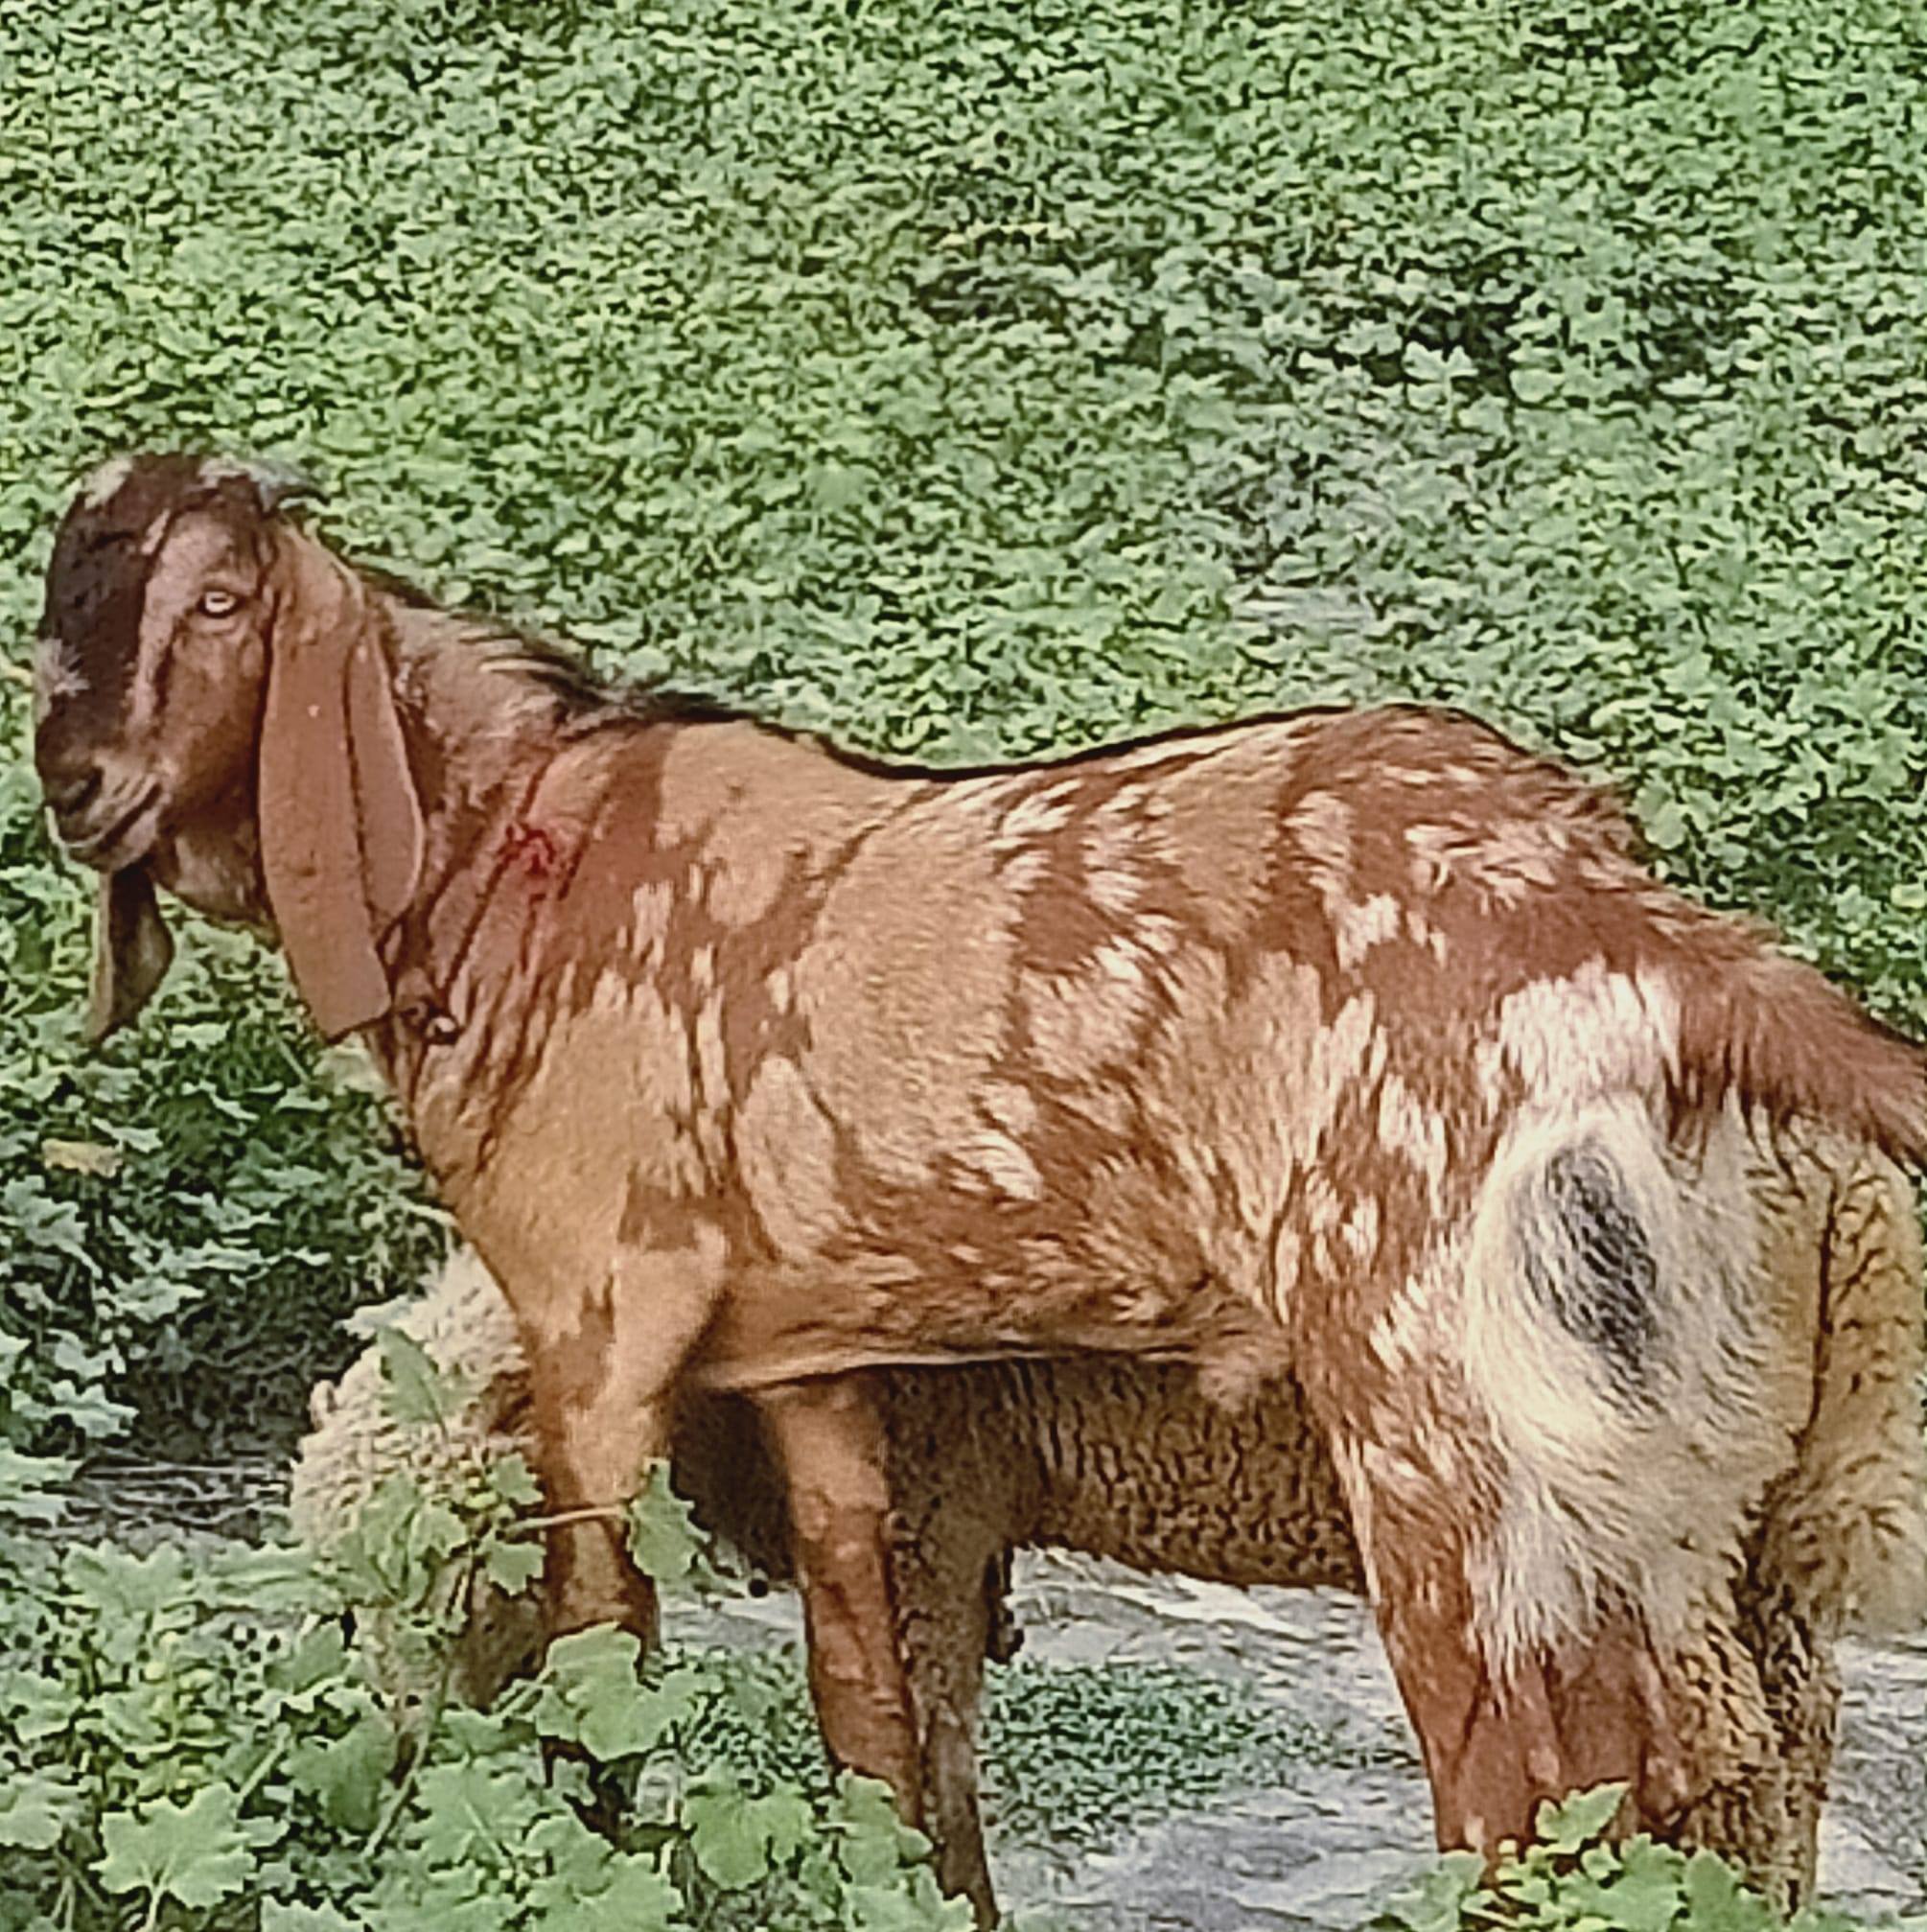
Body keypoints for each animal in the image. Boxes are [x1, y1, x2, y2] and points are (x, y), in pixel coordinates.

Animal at [35, 452, 1927, 1874]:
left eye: (221, 602)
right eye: (55, 599)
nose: (74, 787)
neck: (508, 853)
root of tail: (1658, 937)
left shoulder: (594, 1332)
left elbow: (598, 1684)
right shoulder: (817, 1380)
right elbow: (881, 1734)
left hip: (1456, 1446)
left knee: (1547, 1791)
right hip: (1668, 1501)